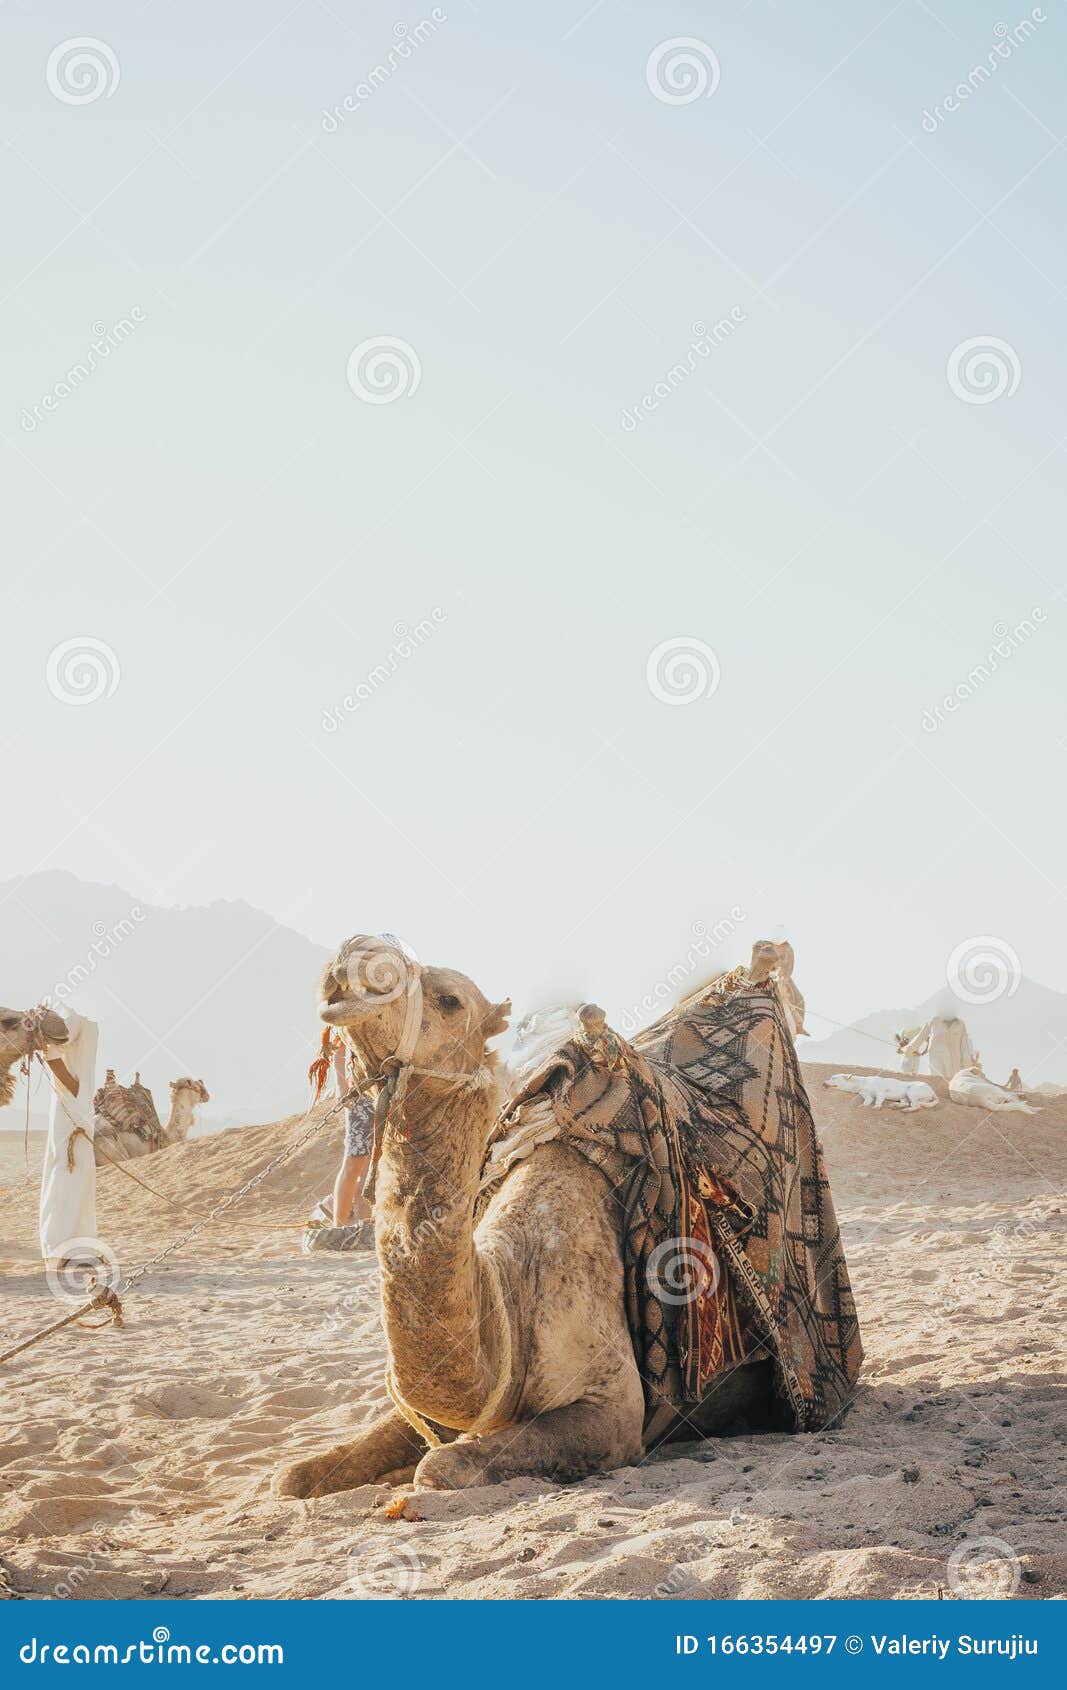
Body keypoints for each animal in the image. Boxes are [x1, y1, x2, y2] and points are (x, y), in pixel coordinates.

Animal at [274, 935, 848, 1500]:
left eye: (449, 999)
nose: (355, 956)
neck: (509, 1303)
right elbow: (296, 1474)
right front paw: (315, 1471)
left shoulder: (614, 1409)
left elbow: (440, 1465)